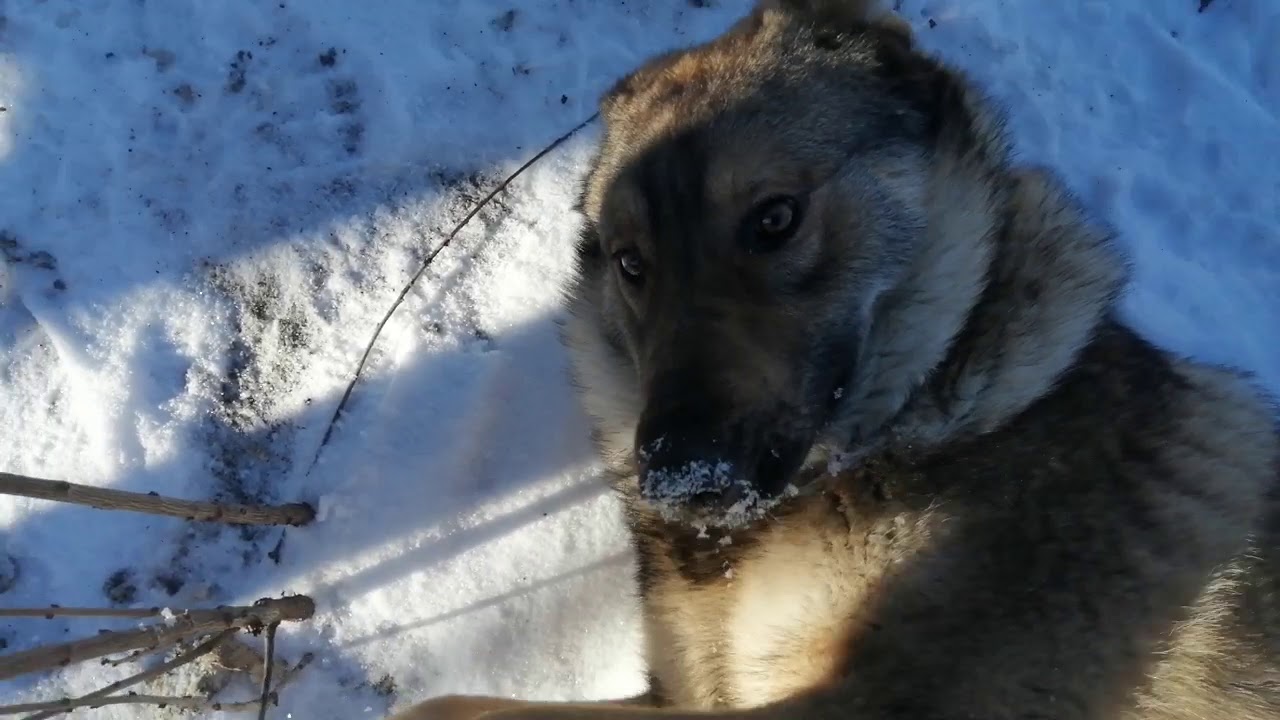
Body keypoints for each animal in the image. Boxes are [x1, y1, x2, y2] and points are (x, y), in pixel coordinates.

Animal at [388, 1, 1280, 718]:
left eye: (775, 219)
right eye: (631, 264)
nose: (678, 471)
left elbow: (438, 709)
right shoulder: (682, 690)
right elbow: (452, 704)